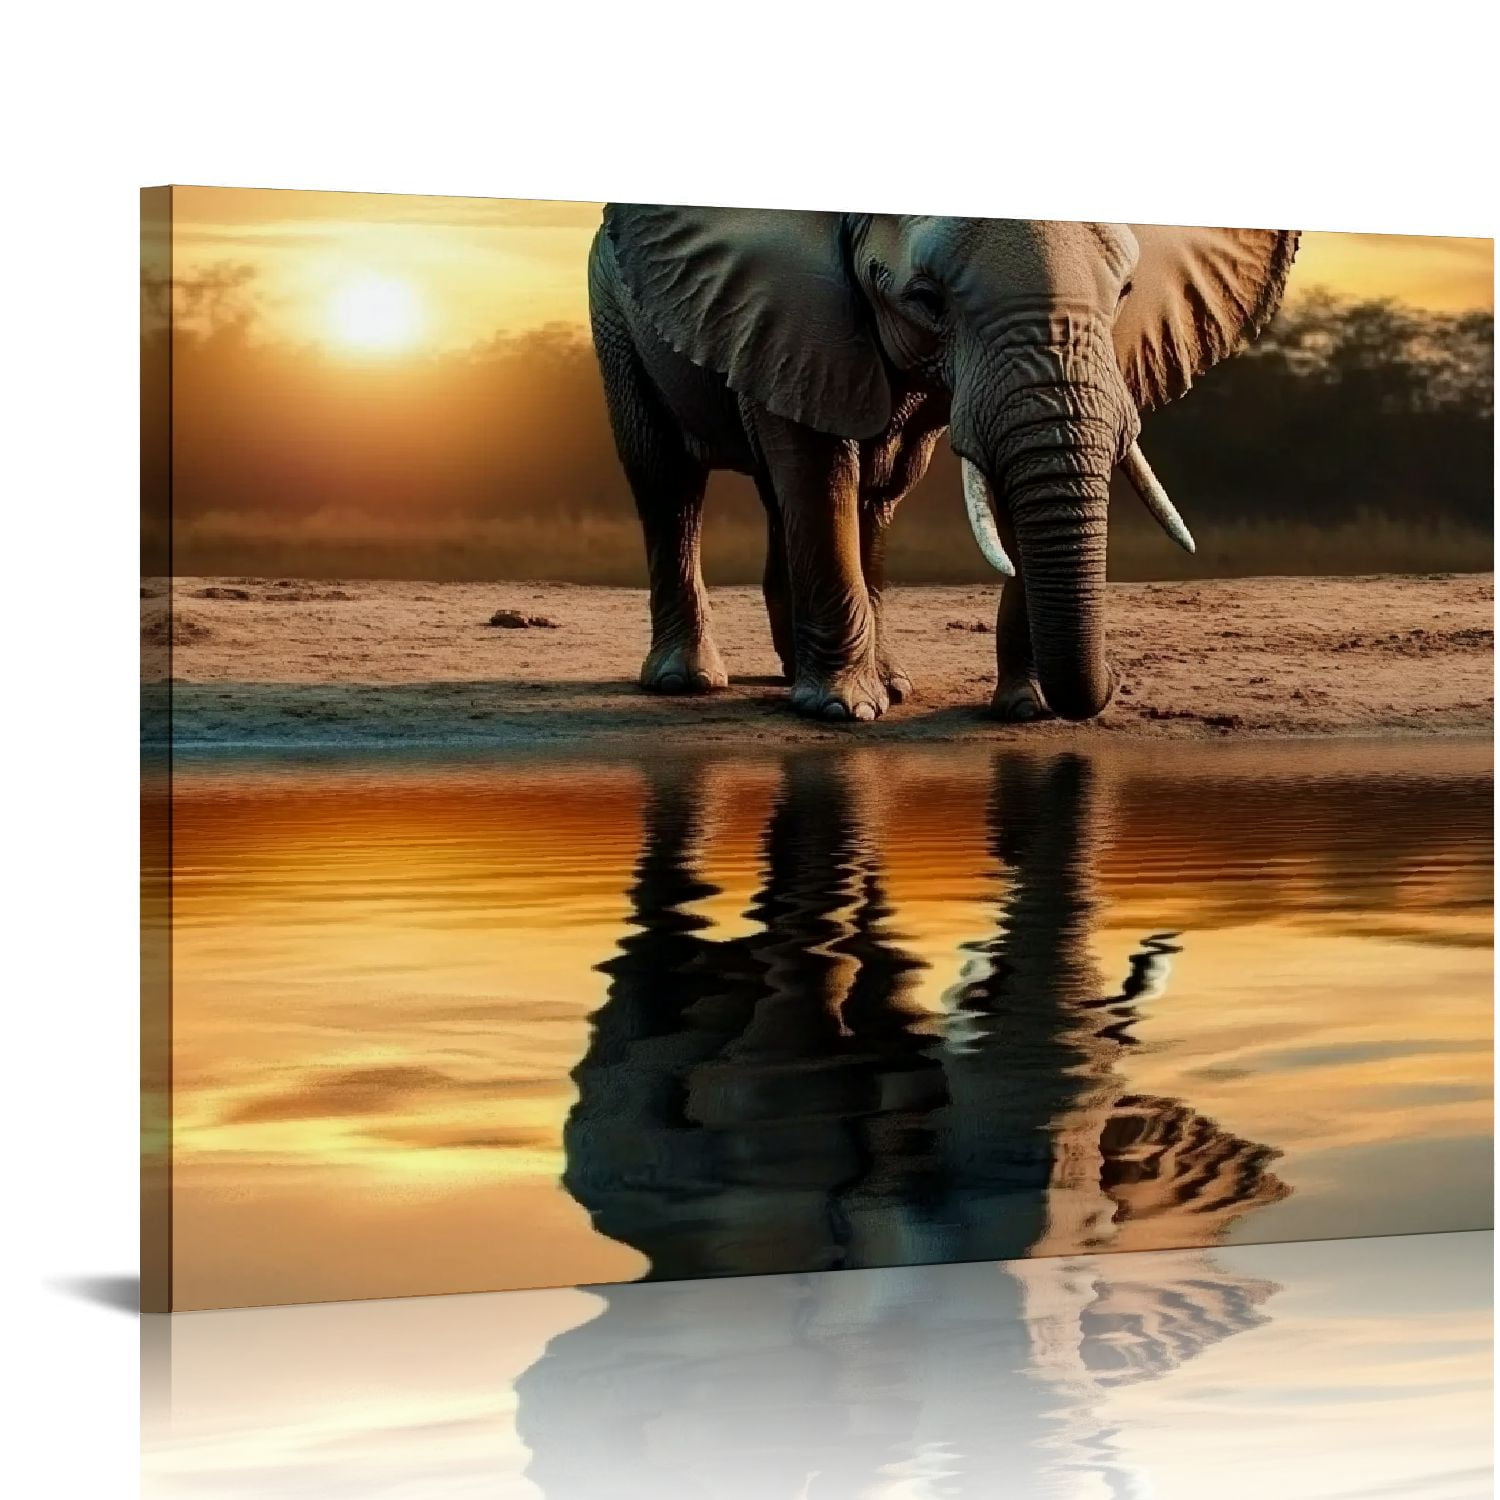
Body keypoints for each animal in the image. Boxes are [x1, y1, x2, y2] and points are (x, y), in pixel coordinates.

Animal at [588, 208, 1299, 721]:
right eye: (926, 298)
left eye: (1125, 291)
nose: (1118, 682)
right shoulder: (786, 310)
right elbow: (818, 471)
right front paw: (841, 712)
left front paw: (1027, 711)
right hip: (612, 312)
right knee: (668, 479)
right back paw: (690, 682)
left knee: (868, 496)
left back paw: (864, 679)